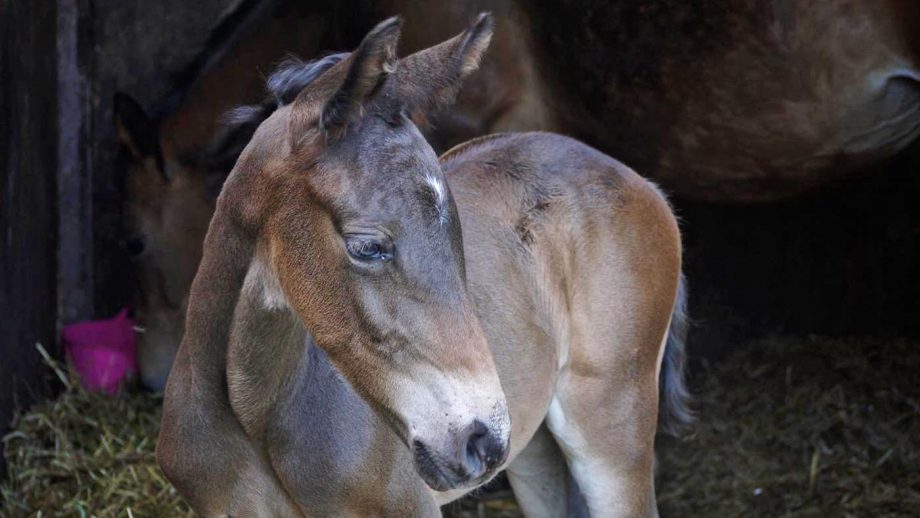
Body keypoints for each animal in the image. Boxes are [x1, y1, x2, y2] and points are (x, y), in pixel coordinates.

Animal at [156, 14, 689, 517]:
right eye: (366, 246)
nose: (483, 440)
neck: (255, 419)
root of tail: (643, 182)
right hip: (535, 448)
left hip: (610, 425)